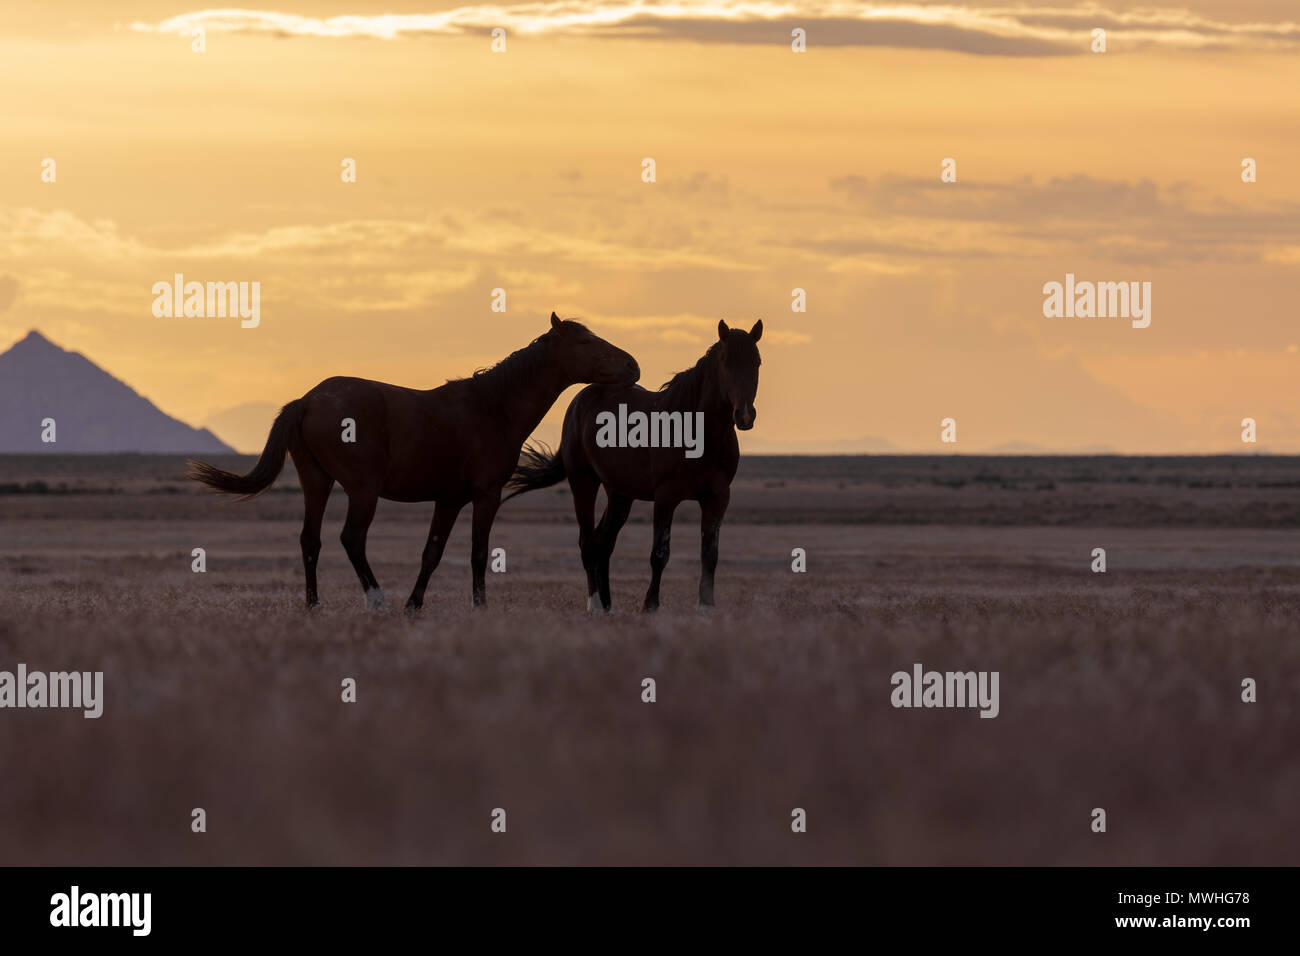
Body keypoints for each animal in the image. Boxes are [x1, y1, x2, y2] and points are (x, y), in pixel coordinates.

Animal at [187, 313, 639, 611]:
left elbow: (432, 552)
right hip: (362, 491)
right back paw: (376, 600)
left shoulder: (449, 500)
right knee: (351, 539)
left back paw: (315, 606)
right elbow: (478, 552)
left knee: (309, 540)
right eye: (585, 342)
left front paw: (415, 604)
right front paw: (479, 607)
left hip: (317, 483)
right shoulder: (486, 495)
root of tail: (307, 400)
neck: (492, 407)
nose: (633, 366)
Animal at [505, 319, 762, 612]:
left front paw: (706, 606)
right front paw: (650, 605)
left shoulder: (717, 498)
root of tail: (580, 399)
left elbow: (710, 553)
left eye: (757, 363)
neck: (697, 433)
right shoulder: (666, 497)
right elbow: (659, 553)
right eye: (725, 362)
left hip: (620, 494)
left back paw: (607, 604)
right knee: (588, 542)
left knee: (604, 541)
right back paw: (595, 604)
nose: (744, 415)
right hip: (583, 482)